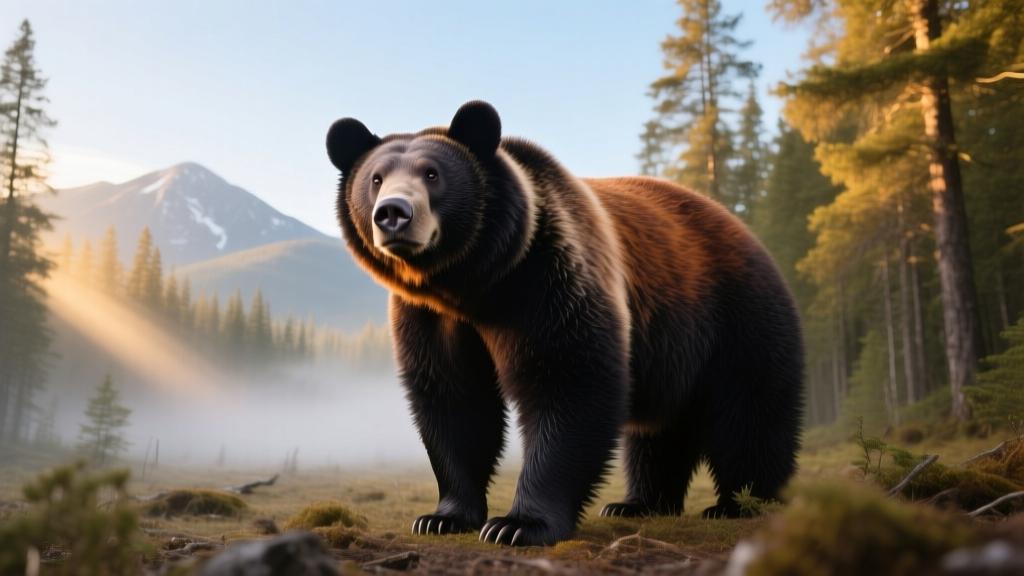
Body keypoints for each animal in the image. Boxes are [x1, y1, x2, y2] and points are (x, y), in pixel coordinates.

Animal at [326, 100, 803, 547]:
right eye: (375, 179)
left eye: (432, 174)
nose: (393, 213)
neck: (473, 285)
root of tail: (748, 233)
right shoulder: (431, 318)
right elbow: (453, 400)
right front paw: (442, 517)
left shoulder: (548, 280)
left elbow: (568, 381)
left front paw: (518, 524)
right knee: (657, 431)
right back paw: (637, 503)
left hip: (736, 316)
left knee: (750, 412)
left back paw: (742, 504)